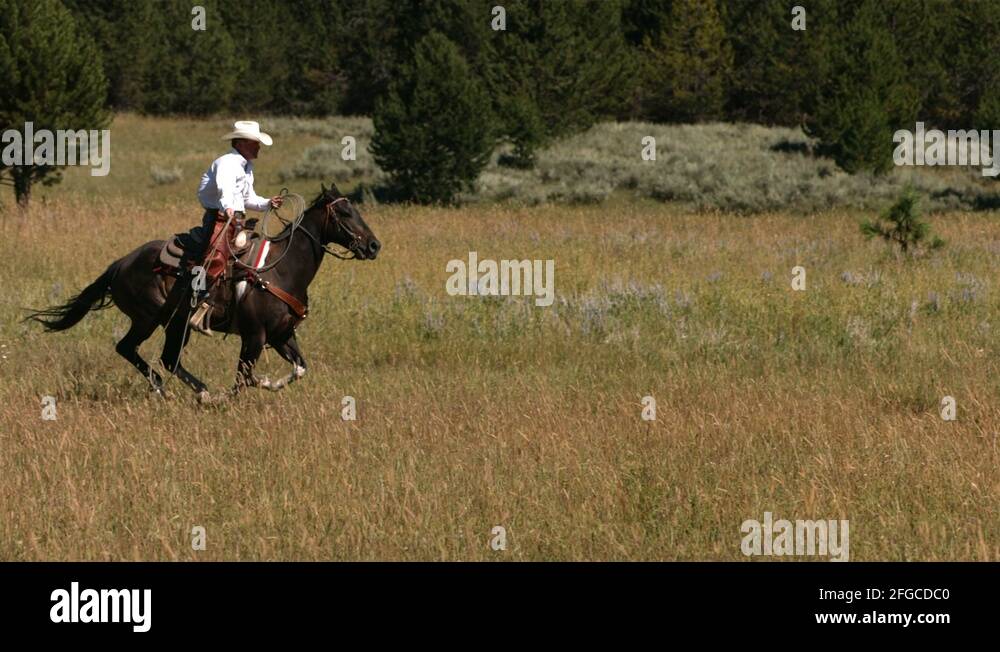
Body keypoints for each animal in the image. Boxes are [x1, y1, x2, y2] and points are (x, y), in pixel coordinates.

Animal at [26, 182, 380, 403]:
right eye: (344, 213)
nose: (374, 245)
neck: (282, 269)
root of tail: (121, 263)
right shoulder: (254, 336)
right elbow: (243, 379)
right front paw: (234, 395)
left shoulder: (282, 335)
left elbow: (299, 368)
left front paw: (270, 383)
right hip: (152, 319)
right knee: (131, 349)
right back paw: (176, 392)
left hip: (174, 324)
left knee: (166, 359)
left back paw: (191, 391)